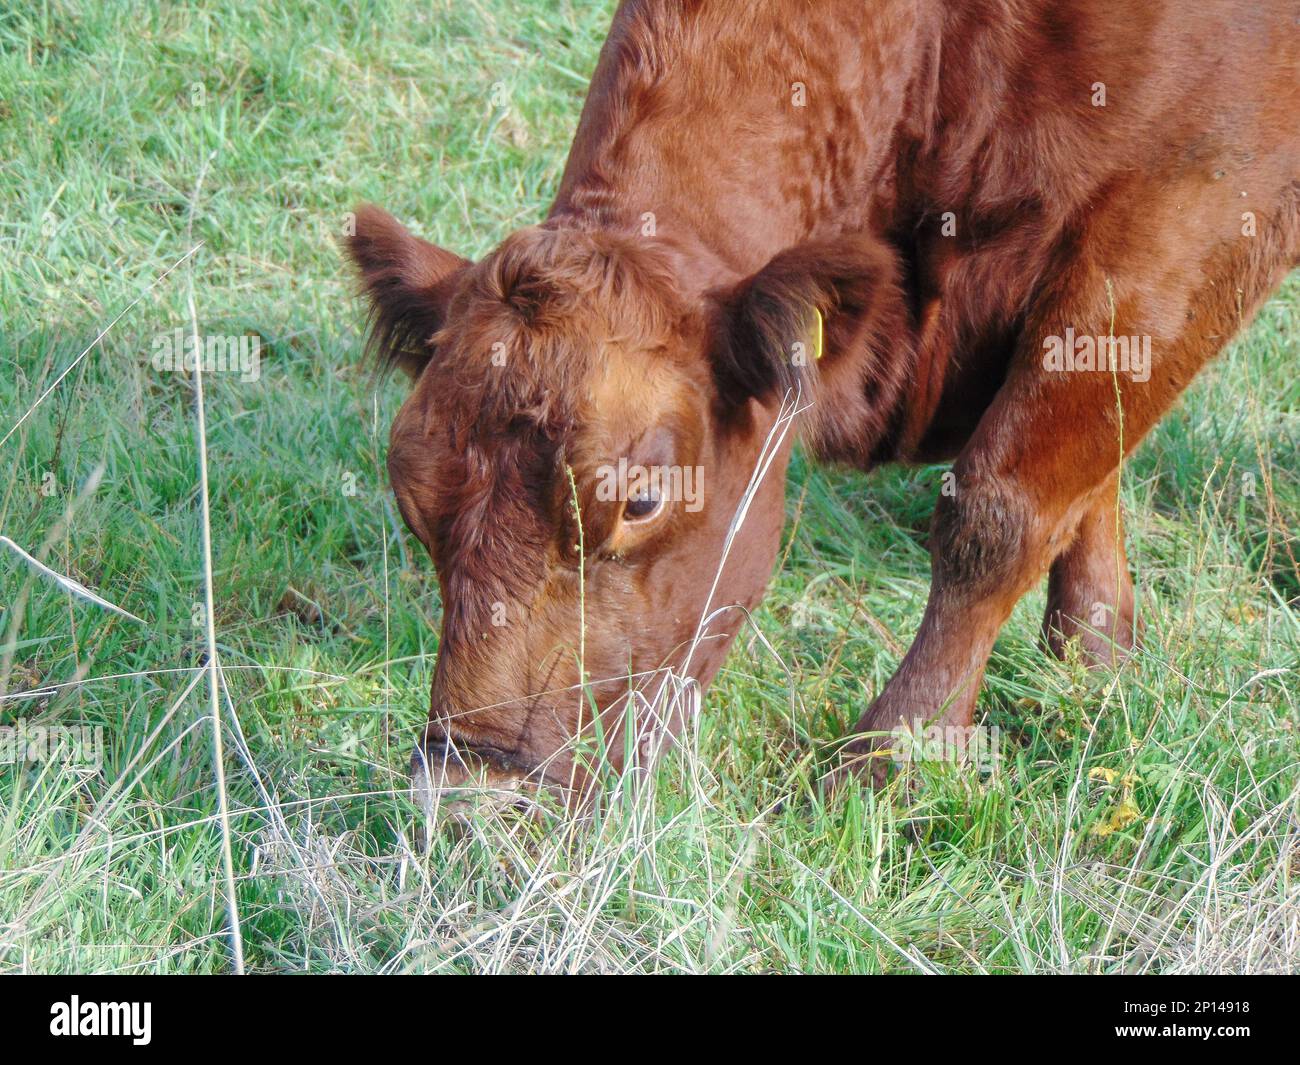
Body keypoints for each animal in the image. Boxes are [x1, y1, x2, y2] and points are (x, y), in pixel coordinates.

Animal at [346, 0, 1299, 804]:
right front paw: (1093, 660)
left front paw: (890, 759)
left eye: (641, 500)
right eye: (410, 494)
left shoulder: (1186, 213)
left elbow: (1000, 509)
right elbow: (1086, 474)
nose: (468, 798)